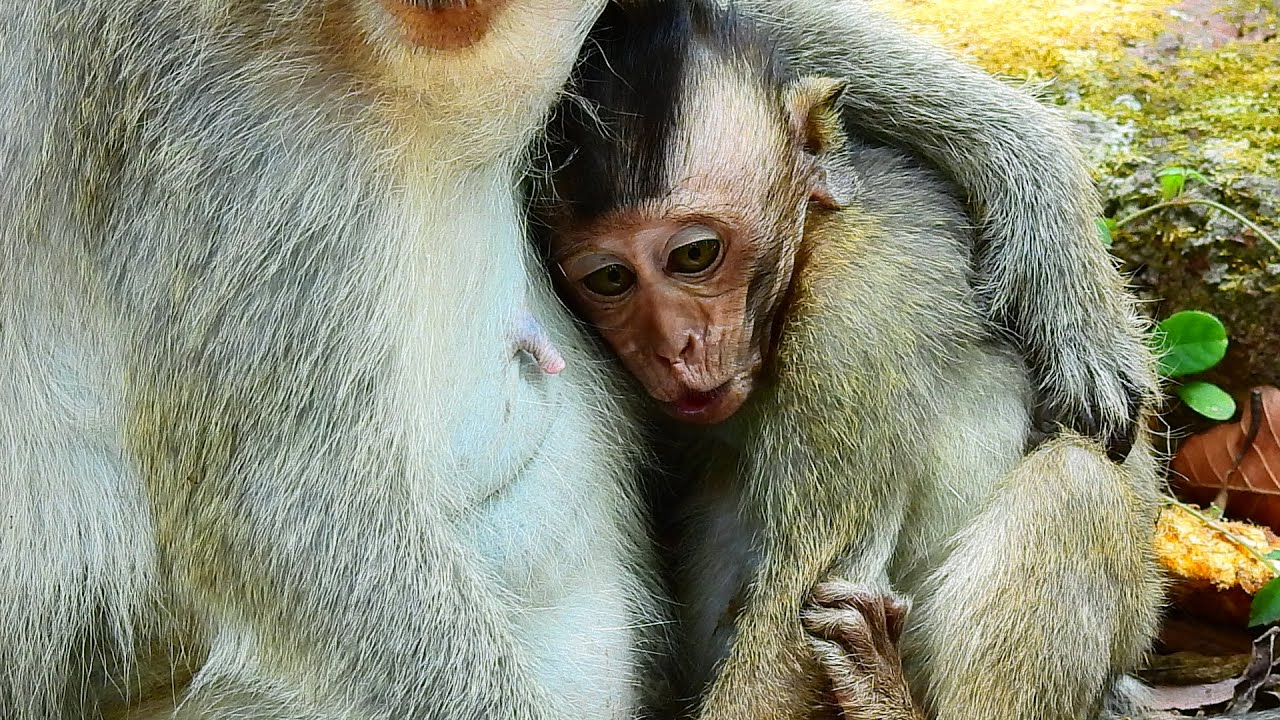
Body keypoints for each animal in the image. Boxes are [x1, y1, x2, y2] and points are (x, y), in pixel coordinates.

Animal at [531, 2, 1165, 719]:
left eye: (694, 255)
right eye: (610, 278)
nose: (673, 346)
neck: (806, 244)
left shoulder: (857, 311)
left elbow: (796, 609)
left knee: (1076, 485)